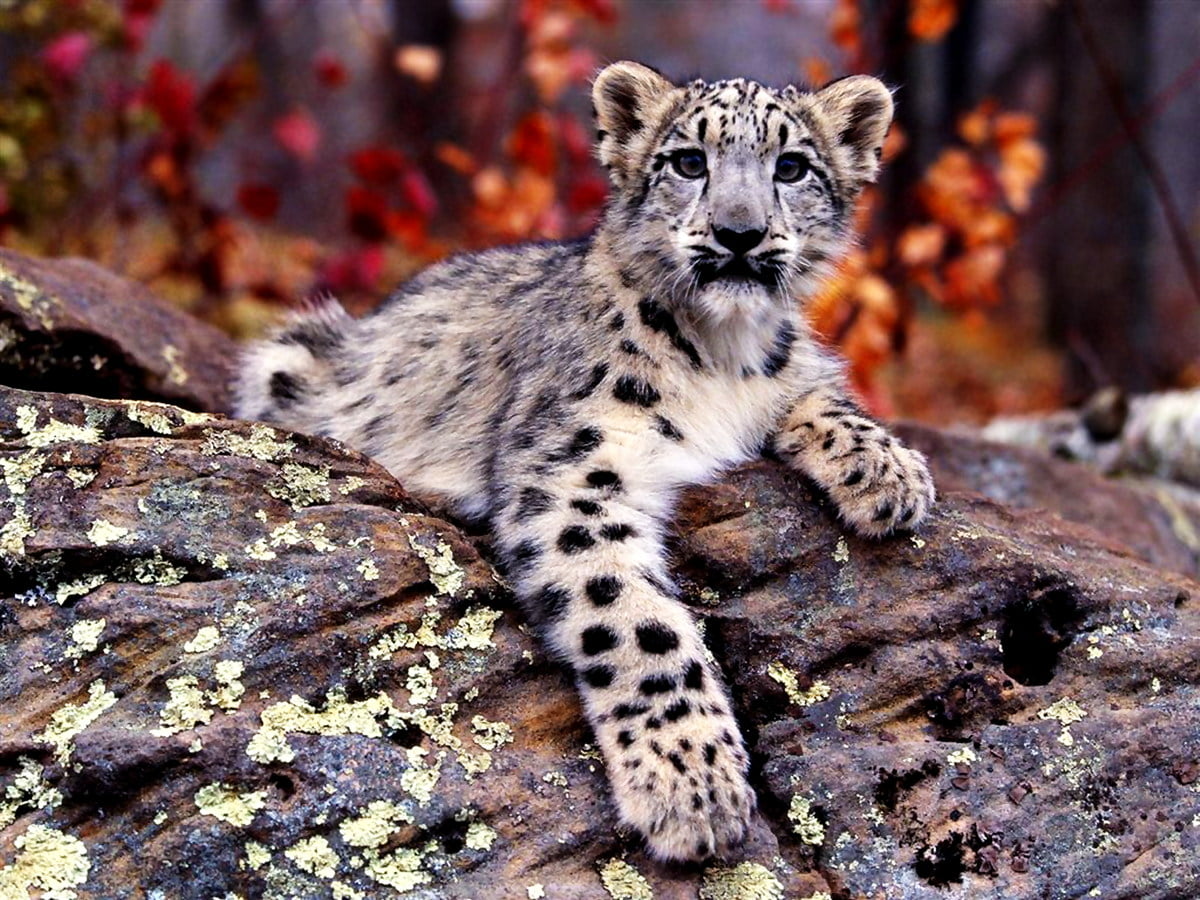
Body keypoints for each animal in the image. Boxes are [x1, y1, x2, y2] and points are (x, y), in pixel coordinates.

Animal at [234, 60, 935, 863]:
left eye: (791, 167)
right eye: (687, 161)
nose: (740, 233)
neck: (722, 355)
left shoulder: (789, 374)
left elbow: (819, 390)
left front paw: (891, 474)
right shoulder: (573, 473)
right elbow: (637, 623)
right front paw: (693, 784)